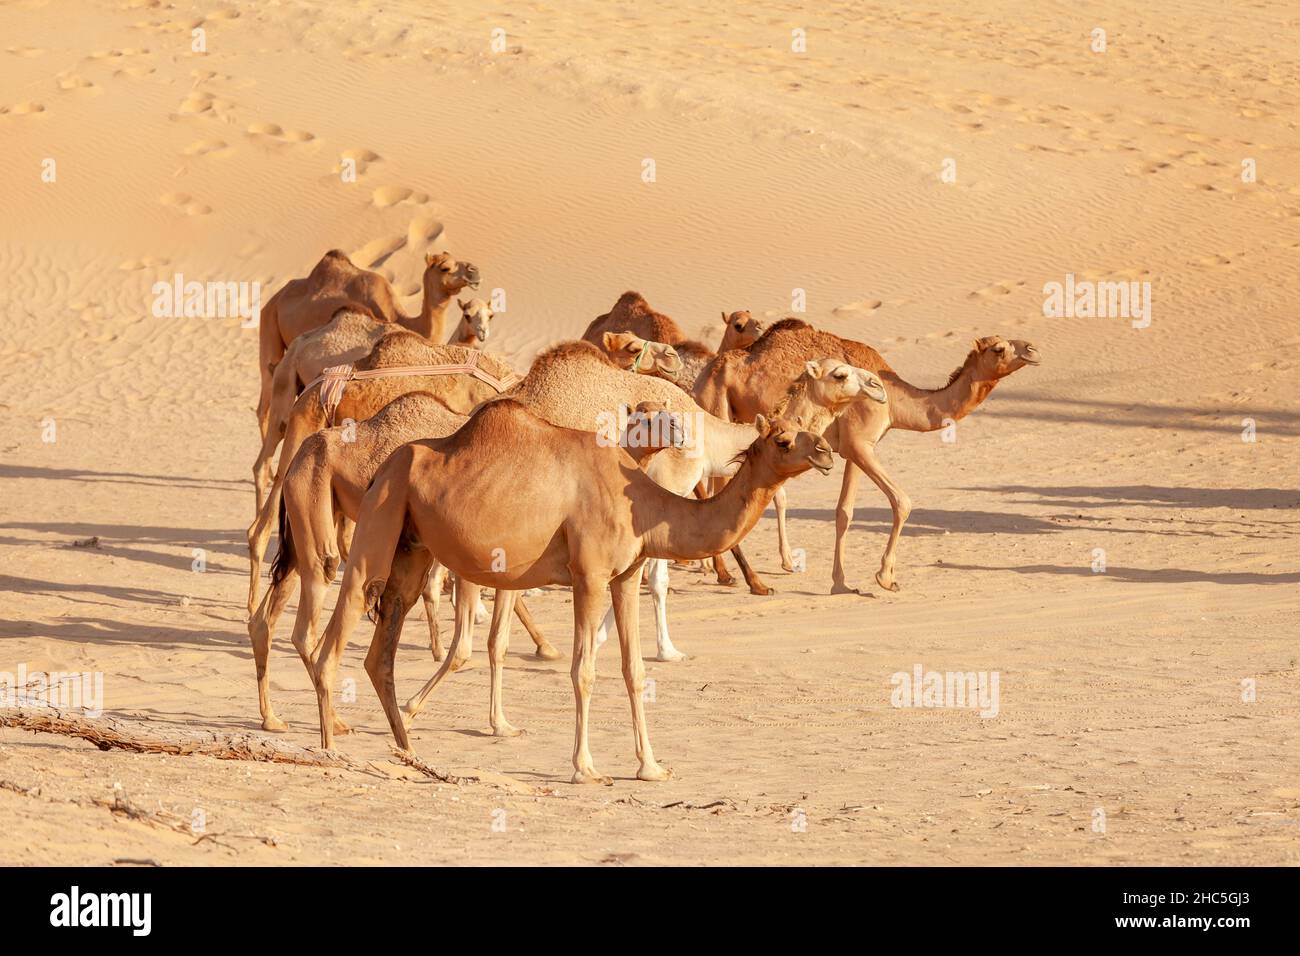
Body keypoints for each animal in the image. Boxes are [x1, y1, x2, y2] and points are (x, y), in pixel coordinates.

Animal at [307, 399, 834, 786]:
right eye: (785, 439)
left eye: (805, 426)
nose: (827, 451)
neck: (642, 504)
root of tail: (383, 466)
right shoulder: (590, 576)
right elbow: (583, 671)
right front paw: (586, 769)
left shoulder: (625, 576)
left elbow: (634, 671)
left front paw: (651, 767)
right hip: (379, 515)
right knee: (338, 630)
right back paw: (332, 753)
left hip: (411, 544)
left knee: (380, 651)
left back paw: (408, 751)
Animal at [695, 319, 1040, 593]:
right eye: (998, 348)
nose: (1033, 349)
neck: (896, 401)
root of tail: (708, 369)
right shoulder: (861, 443)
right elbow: (902, 501)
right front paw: (886, 577)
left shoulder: (852, 451)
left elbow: (844, 512)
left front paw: (841, 583)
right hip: (717, 408)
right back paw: (722, 572)